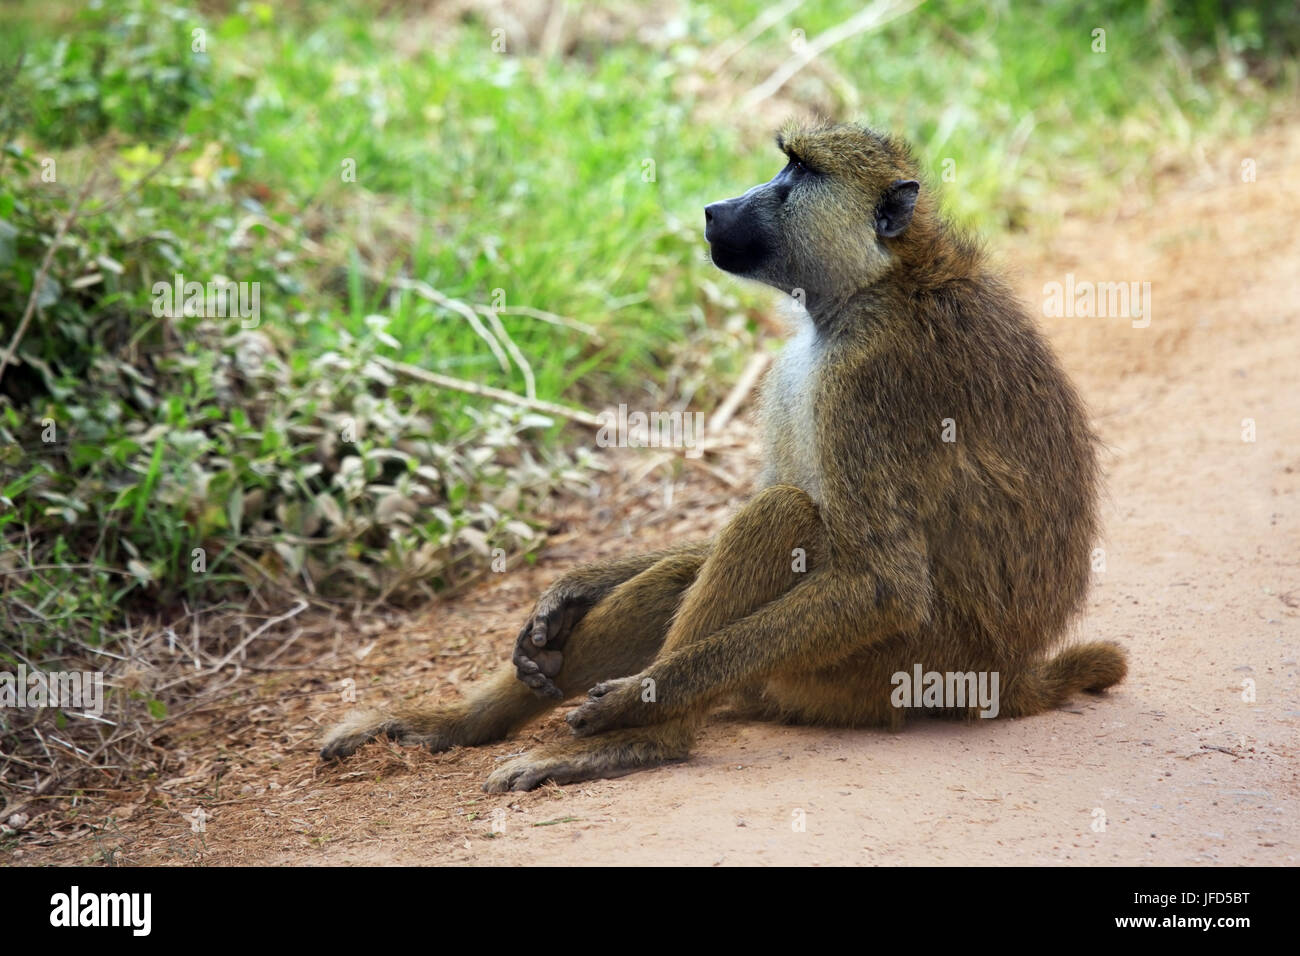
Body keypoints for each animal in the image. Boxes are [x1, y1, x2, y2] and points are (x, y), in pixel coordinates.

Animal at [320, 122, 1127, 792]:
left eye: (797, 173)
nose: (714, 209)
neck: (875, 284)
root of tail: (1005, 674)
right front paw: (569, 594)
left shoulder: (871, 381)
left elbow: (885, 584)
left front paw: (637, 700)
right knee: (700, 561)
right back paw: (455, 724)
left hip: (895, 670)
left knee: (783, 518)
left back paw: (641, 739)